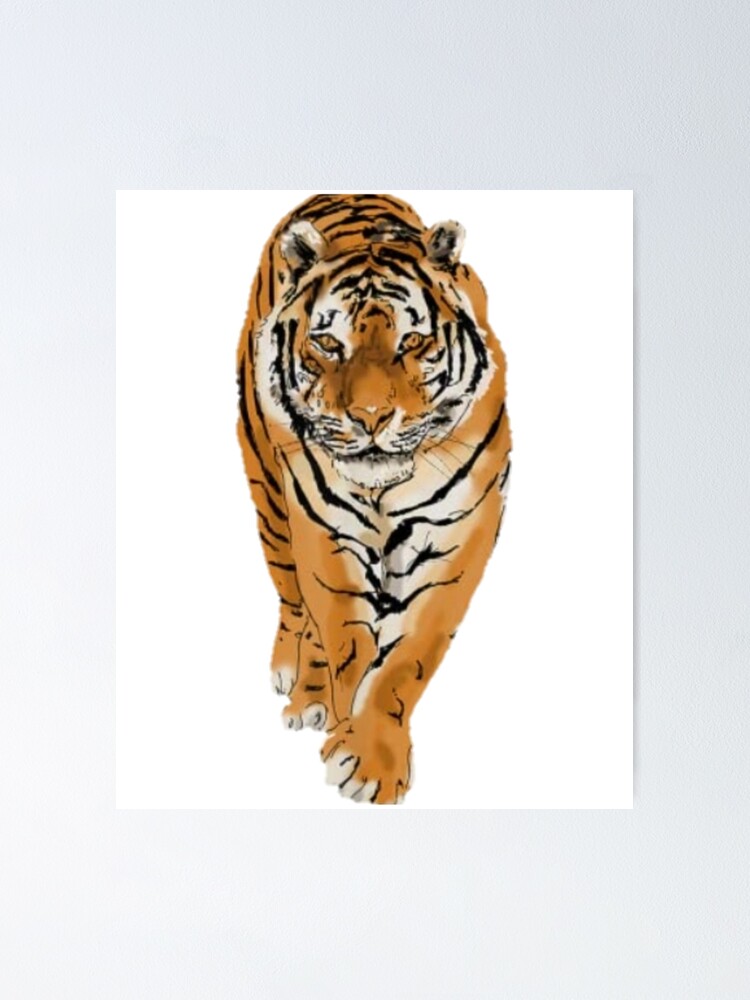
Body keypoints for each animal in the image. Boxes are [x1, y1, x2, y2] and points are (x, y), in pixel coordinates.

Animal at [236, 193, 511, 805]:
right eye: (328, 343)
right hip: (269, 494)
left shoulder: (455, 537)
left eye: (412, 342)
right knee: (293, 600)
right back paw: (303, 692)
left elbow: (405, 658)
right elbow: (346, 638)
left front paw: (372, 762)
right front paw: (348, 735)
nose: (370, 418)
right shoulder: (325, 531)